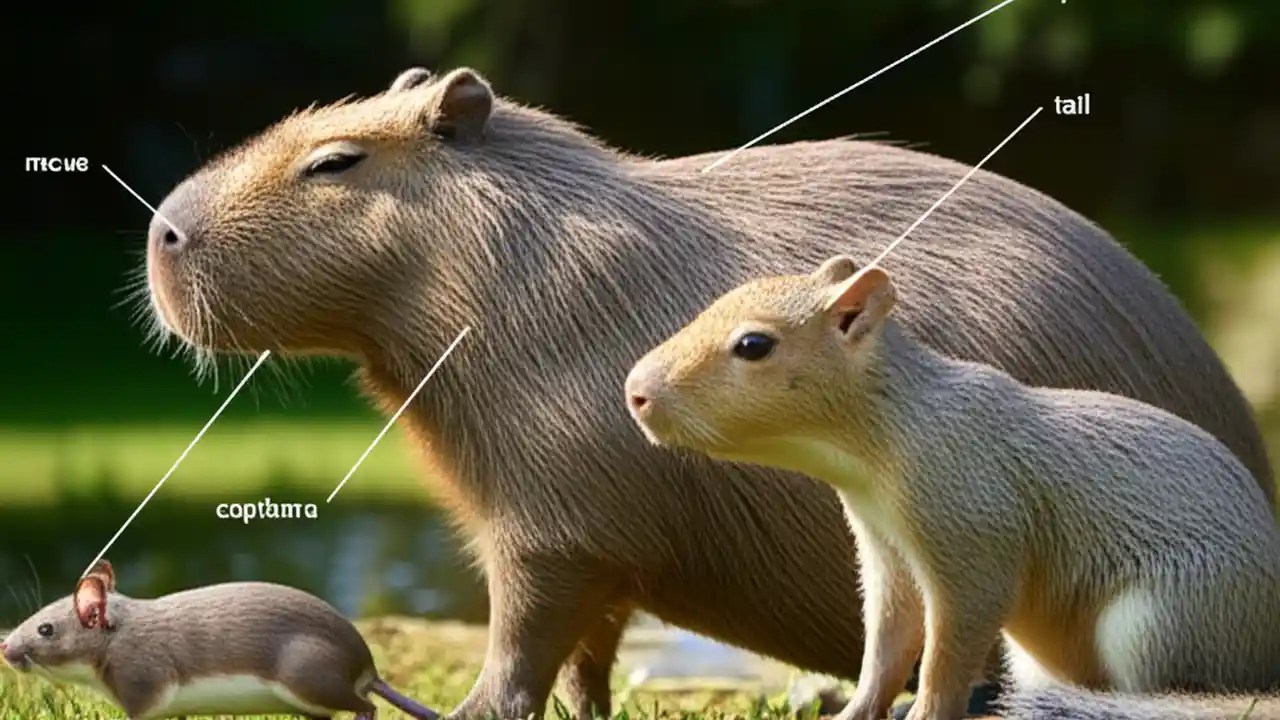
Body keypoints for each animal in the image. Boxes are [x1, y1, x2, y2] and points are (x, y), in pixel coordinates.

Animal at [625, 255, 1280, 720]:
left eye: (754, 345)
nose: (636, 392)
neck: (885, 435)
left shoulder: (971, 520)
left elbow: (949, 644)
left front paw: (925, 712)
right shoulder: (885, 548)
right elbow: (887, 642)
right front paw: (857, 711)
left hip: (1160, 623)